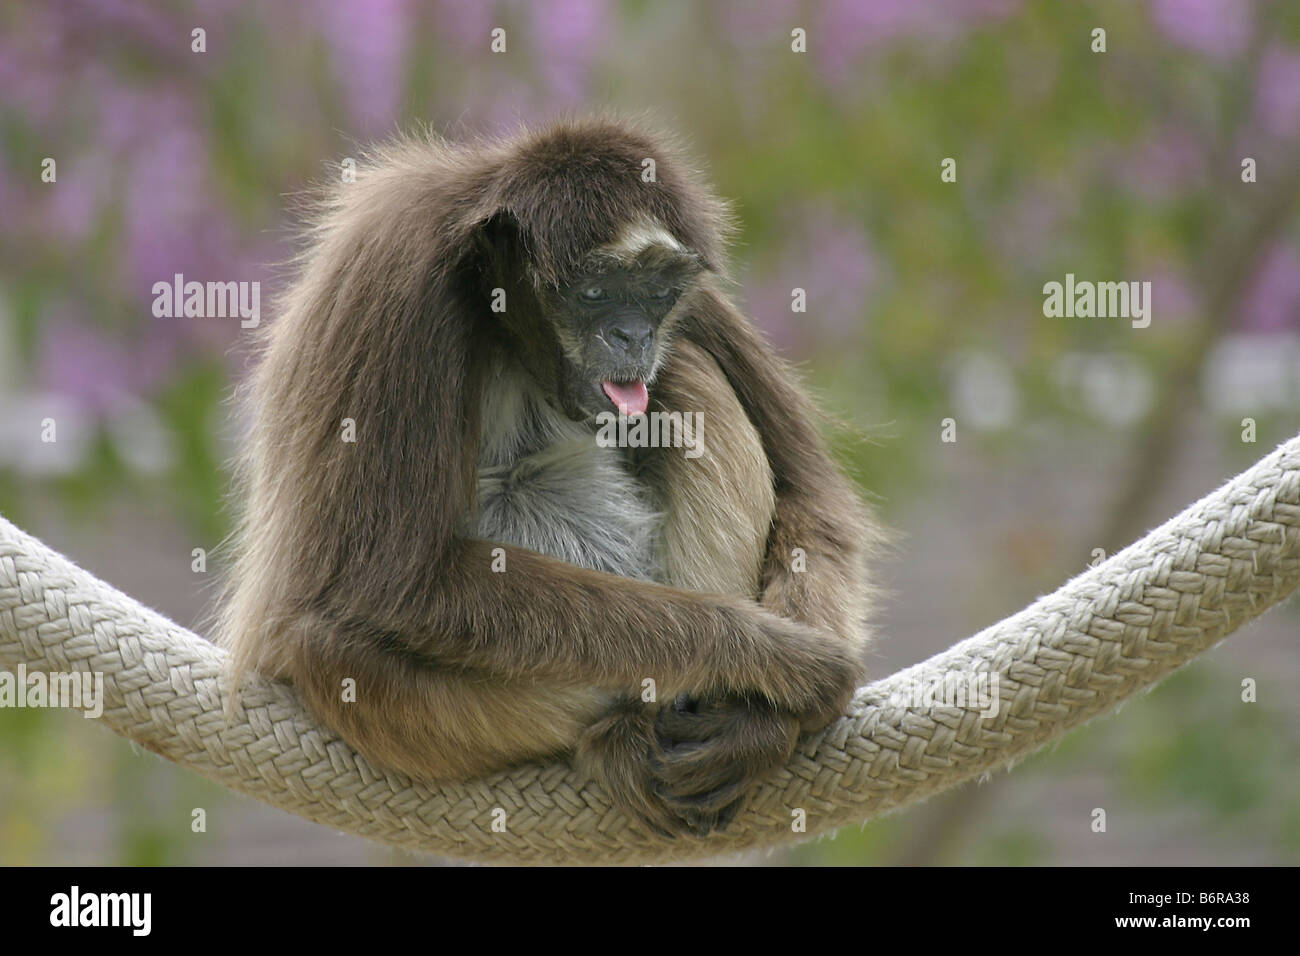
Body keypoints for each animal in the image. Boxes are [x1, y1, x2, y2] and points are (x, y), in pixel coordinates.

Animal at [218, 116, 879, 837]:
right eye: (594, 292)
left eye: (657, 293)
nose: (633, 336)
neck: (504, 323)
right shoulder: (401, 271)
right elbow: (391, 583)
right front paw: (771, 657)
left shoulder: (689, 306)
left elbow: (815, 502)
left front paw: (757, 726)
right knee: (327, 646)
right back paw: (616, 737)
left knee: (686, 367)